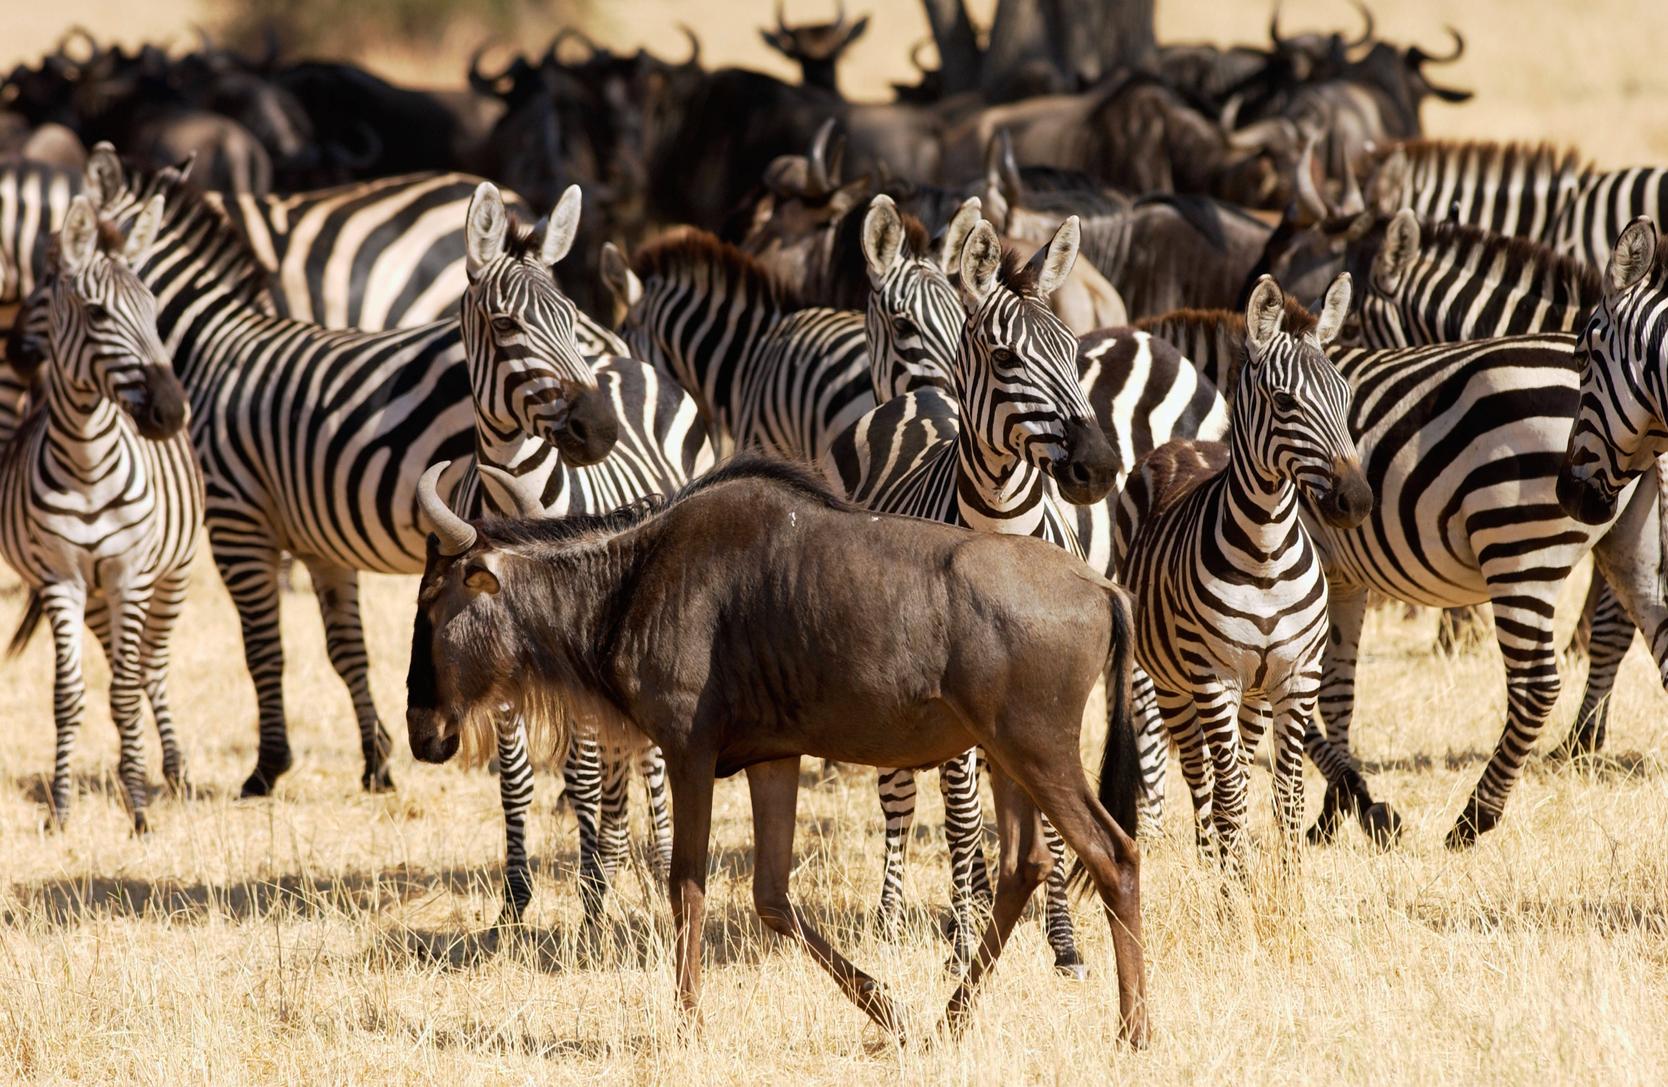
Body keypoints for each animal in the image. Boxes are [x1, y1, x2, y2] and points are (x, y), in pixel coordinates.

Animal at [0, 191, 204, 830]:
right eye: (95, 314)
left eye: (155, 308)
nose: (171, 412)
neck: (88, 467)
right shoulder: (60, 580)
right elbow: (69, 696)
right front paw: (61, 808)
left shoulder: (129, 575)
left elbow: (125, 691)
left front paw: (138, 809)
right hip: (93, 599)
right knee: (123, 664)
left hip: (173, 575)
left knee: (149, 669)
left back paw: (171, 771)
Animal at [449, 180, 713, 923]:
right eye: (505, 325)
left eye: (569, 319)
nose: (600, 430)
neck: (522, 508)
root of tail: (628, 362)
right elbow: (515, 775)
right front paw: (516, 902)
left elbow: (587, 770)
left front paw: (595, 900)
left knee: (644, 752)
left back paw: (650, 859)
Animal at [825, 212, 1120, 975]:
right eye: (1007, 358)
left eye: (1074, 351)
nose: (1099, 467)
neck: (1003, 532)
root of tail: (916, 397)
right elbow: (958, 813)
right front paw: (964, 937)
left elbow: (1047, 812)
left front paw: (1063, 941)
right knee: (902, 794)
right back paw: (903, 914)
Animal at [1113, 274, 1368, 873]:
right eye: (1285, 401)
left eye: (1346, 398)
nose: (1357, 500)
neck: (1266, 557)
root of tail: (1182, 442)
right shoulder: (1214, 677)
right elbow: (1225, 789)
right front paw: (1234, 883)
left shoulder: (1298, 677)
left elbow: (1288, 792)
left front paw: (1288, 881)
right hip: (1171, 681)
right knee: (1201, 775)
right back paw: (1213, 859)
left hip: (1254, 690)